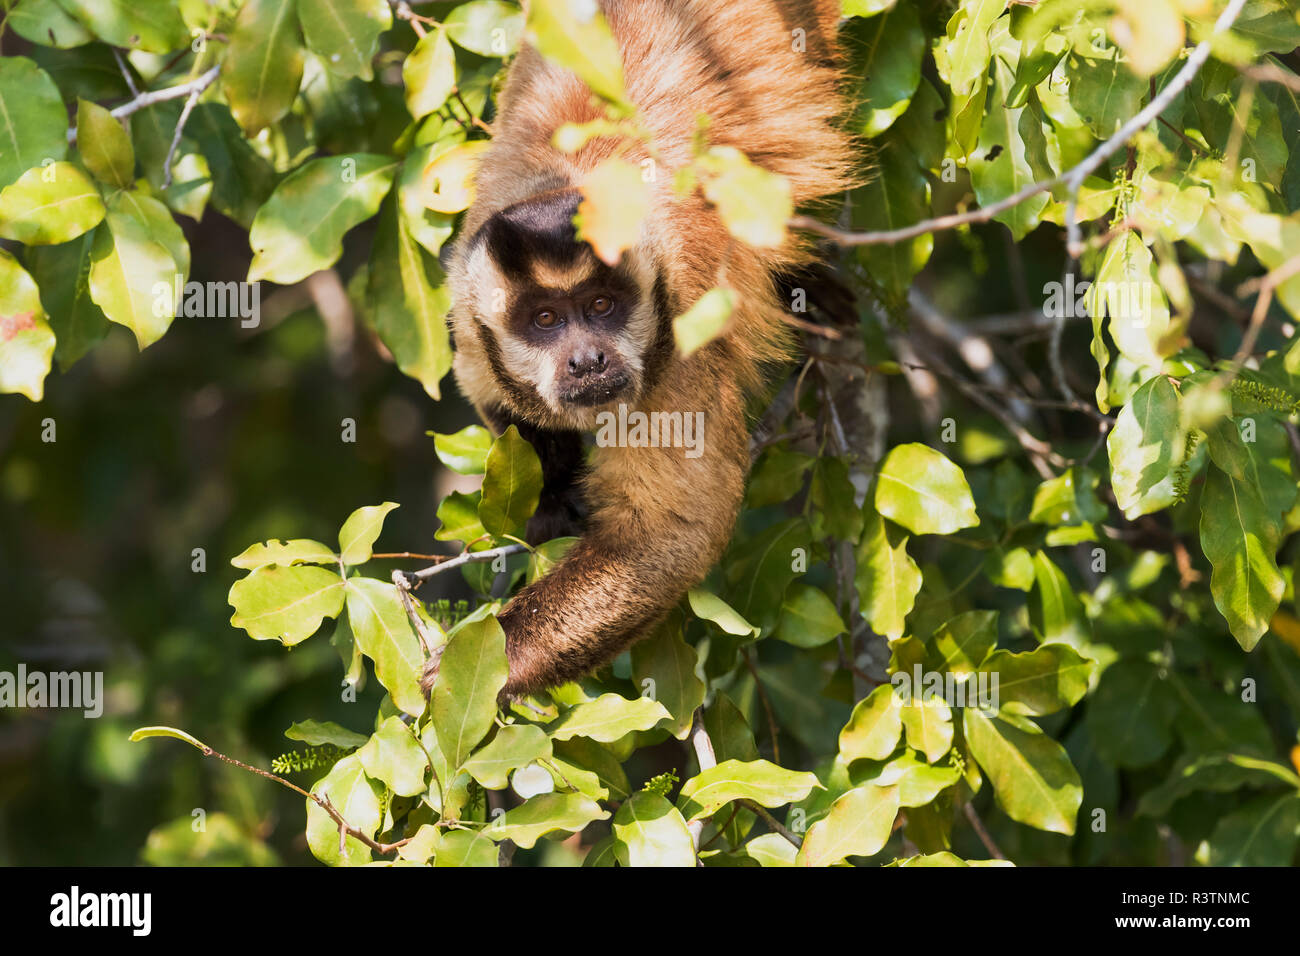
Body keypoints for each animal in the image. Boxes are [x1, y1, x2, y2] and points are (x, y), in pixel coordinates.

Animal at [422, 0, 857, 701]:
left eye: (602, 307)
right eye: (545, 320)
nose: (588, 360)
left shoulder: (681, 327)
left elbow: (668, 536)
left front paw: (488, 661)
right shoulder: (465, 310)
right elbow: (494, 398)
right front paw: (552, 500)